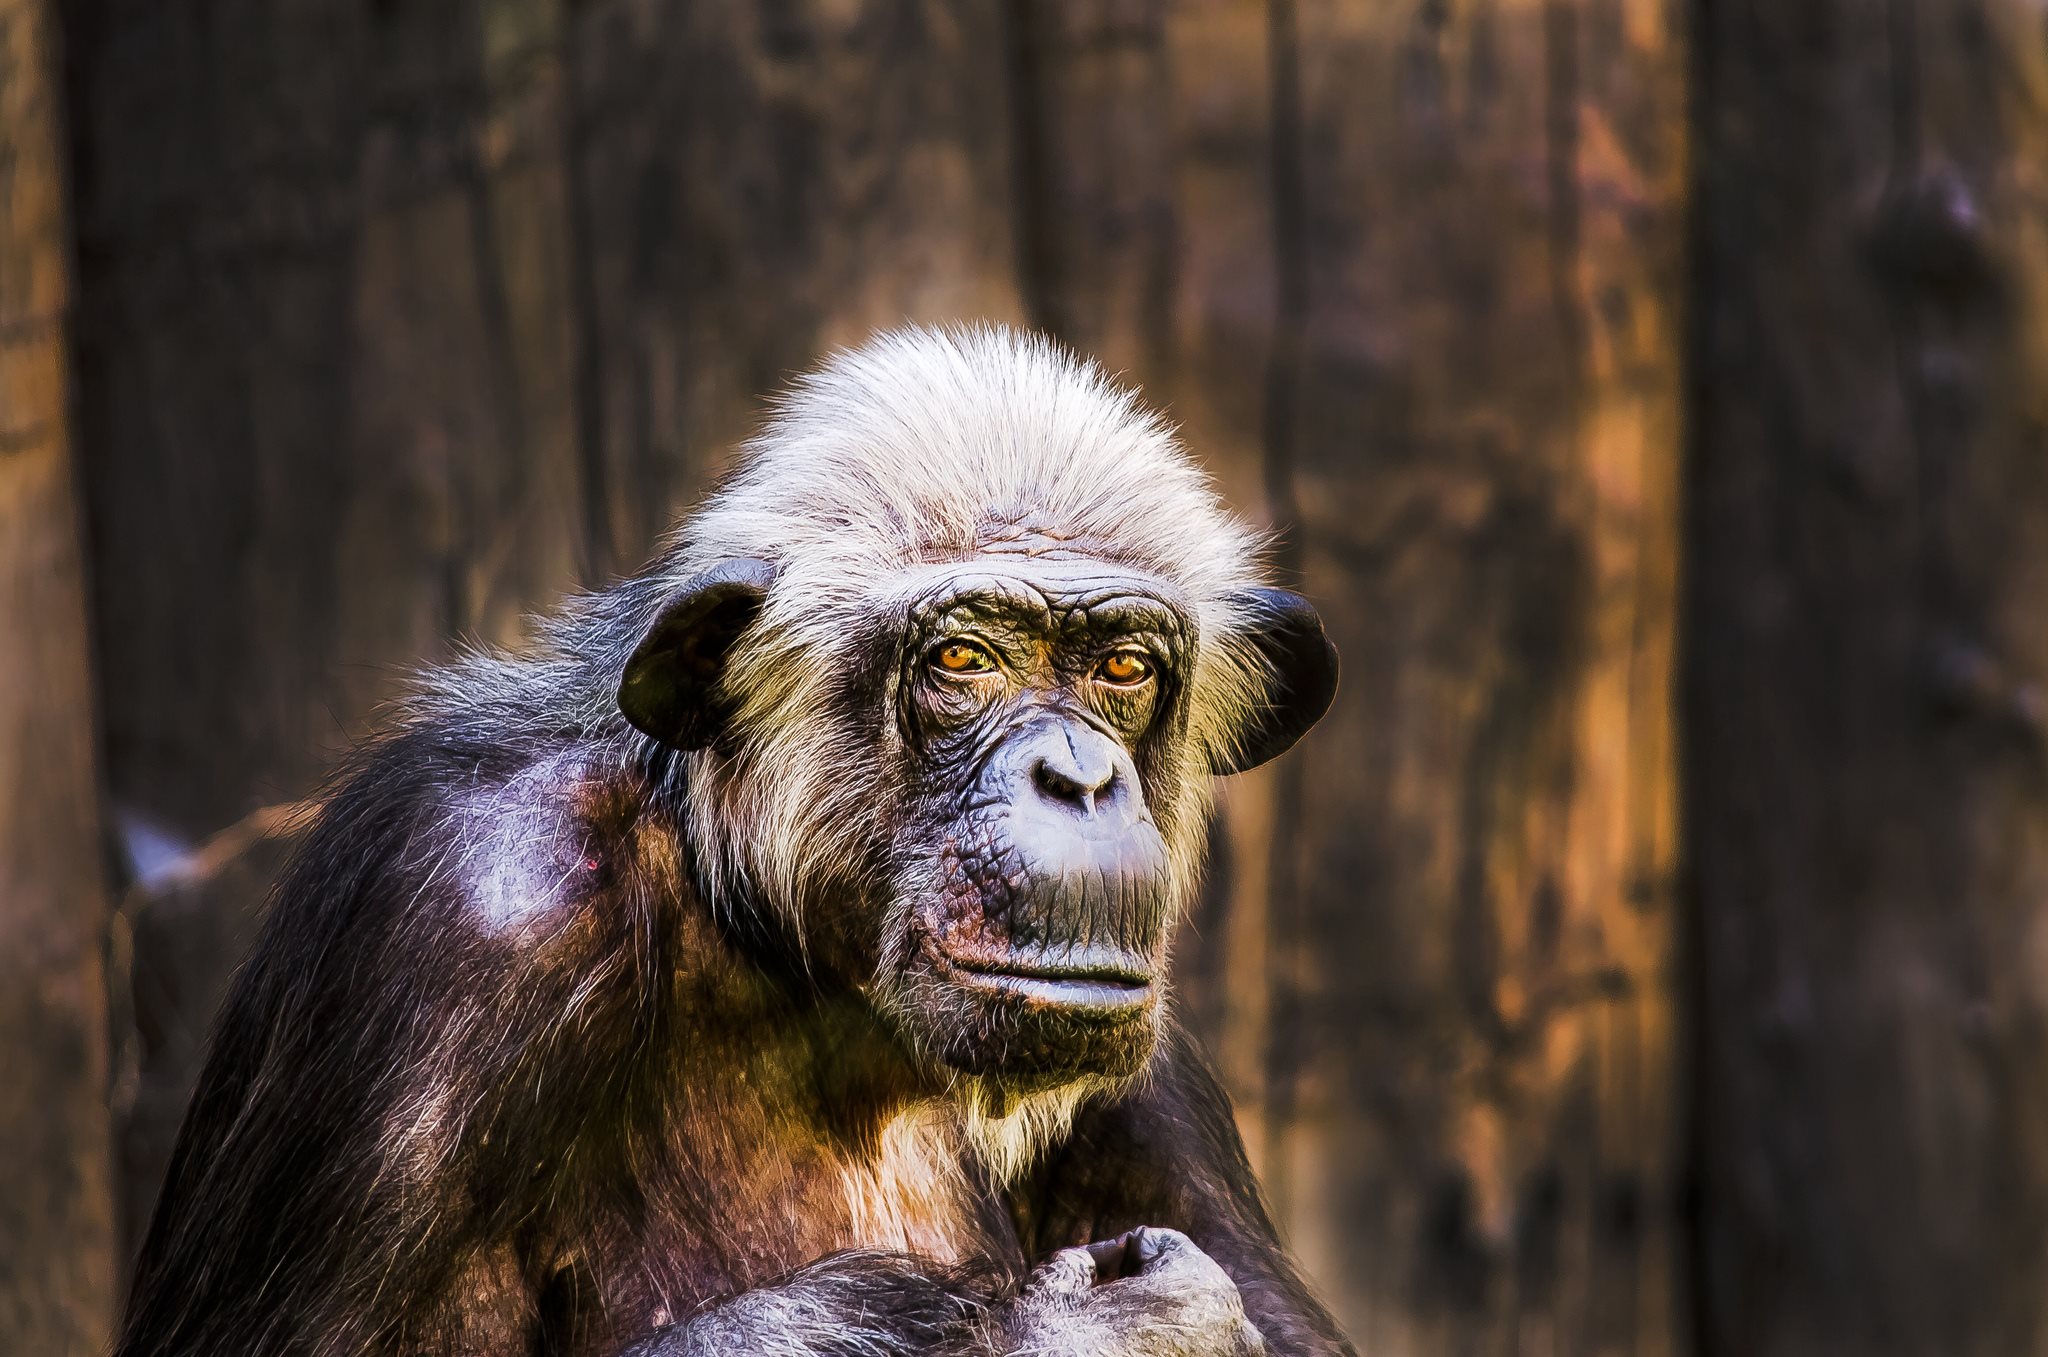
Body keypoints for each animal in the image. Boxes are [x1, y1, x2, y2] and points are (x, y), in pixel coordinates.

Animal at [113, 326, 1352, 1357]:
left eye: (1122, 669)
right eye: (963, 660)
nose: (1079, 778)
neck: (783, 951)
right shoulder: (466, 920)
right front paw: (1069, 1328)